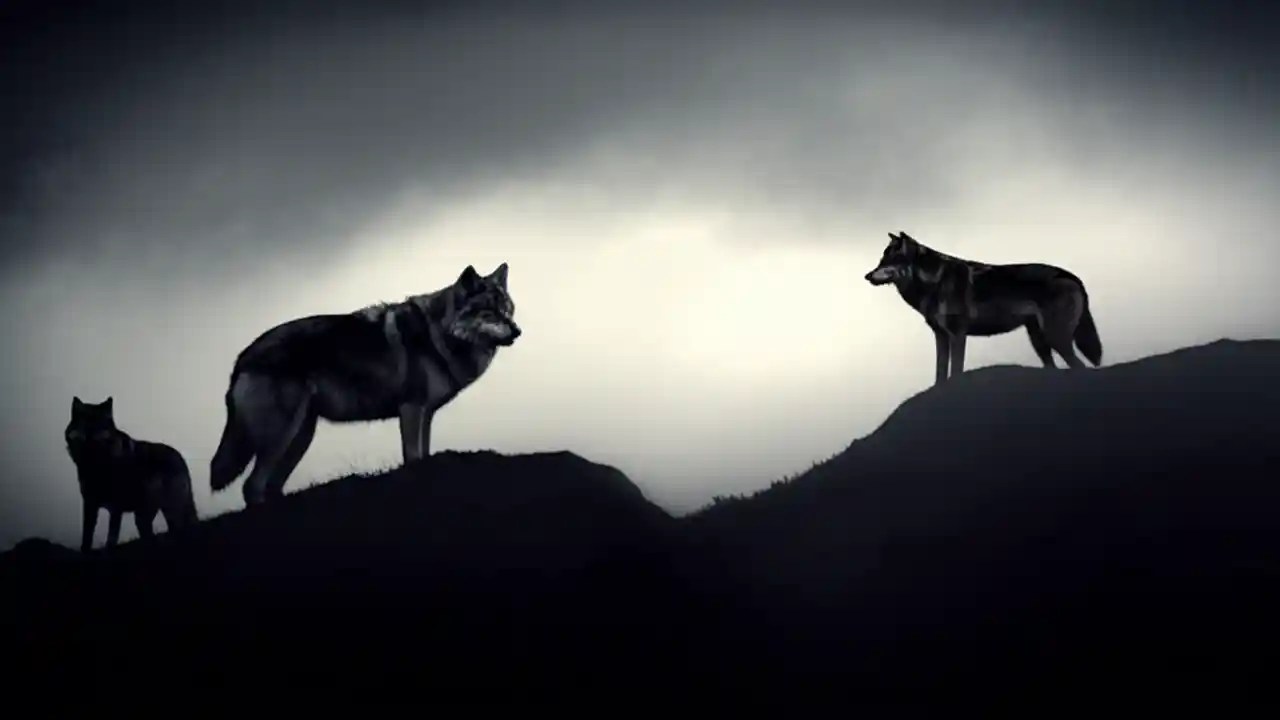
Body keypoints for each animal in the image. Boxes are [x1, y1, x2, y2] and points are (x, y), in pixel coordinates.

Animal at [64, 396, 200, 553]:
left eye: (100, 428)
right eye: (85, 425)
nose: (92, 443)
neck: (98, 465)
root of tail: (180, 457)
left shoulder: (116, 507)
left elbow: (112, 537)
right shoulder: (90, 503)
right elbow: (87, 534)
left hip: (167, 509)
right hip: (146, 515)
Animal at [210, 262, 522, 506]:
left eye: (508, 311)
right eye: (489, 313)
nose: (518, 331)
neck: (439, 334)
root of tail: (240, 360)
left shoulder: (426, 414)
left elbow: (424, 454)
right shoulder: (411, 408)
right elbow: (413, 458)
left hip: (299, 437)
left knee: (271, 486)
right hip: (281, 435)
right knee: (251, 487)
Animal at [864, 231, 1102, 385]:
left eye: (890, 260)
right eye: (881, 260)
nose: (867, 276)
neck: (935, 281)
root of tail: (1072, 276)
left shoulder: (958, 335)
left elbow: (955, 370)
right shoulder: (941, 336)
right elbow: (940, 373)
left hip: (1055, 338)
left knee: (1080, 367)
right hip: (1039, 341)